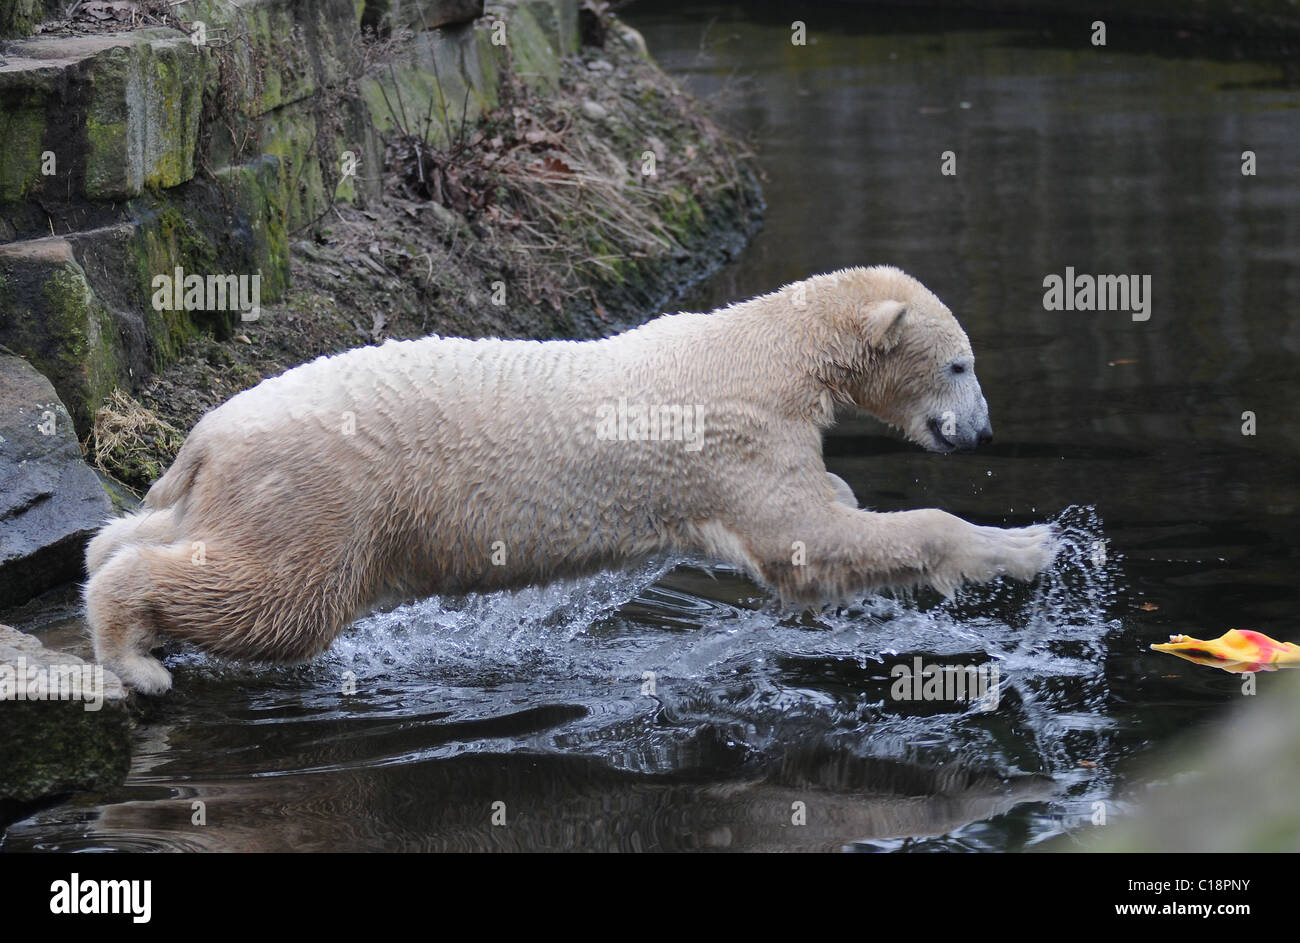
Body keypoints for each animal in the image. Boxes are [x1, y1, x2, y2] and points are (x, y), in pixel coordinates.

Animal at [84, 265, 1057, 694]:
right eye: (961, 365)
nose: (982, 431)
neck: (766, 347)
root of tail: (205, 432)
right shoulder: (738, 434)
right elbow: (809, 544)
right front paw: (1029, 543)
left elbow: (822, 522)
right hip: (324, 494)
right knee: (275, 601)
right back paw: (136, 657)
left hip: (243, 489)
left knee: (157, 536)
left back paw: (116, 558)